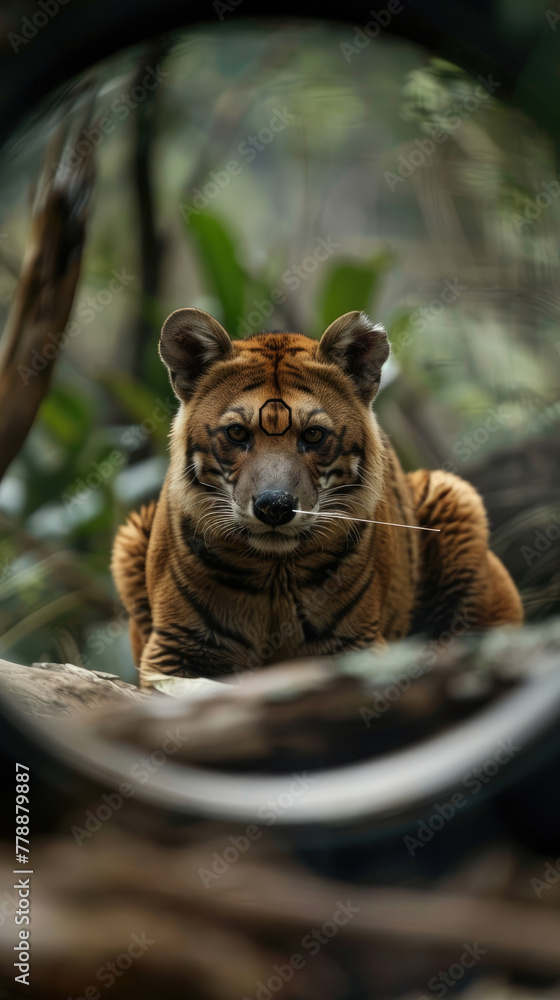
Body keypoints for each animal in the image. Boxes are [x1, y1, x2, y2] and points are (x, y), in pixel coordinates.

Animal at [111, 307, 523, 688]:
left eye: (312, 436)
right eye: (236, 433)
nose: (274, 506)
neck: (274, 574)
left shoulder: (355, 647)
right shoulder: (173, 650)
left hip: (457, 498)